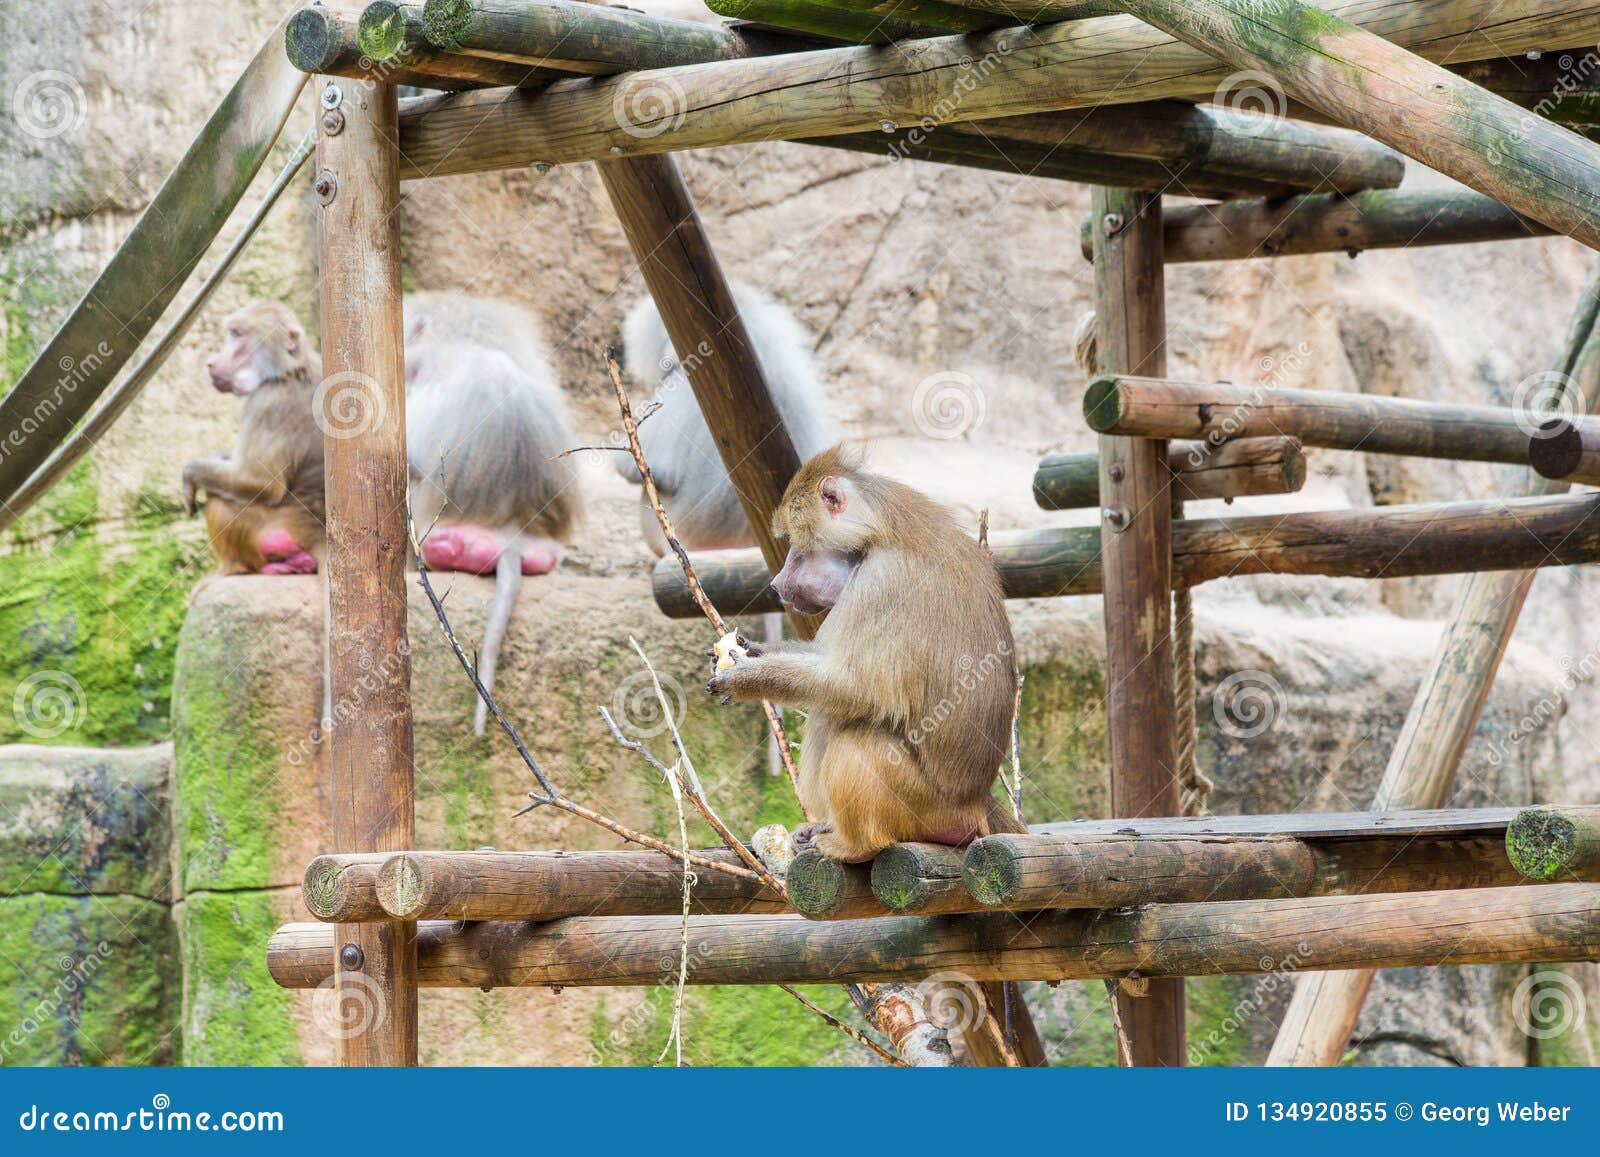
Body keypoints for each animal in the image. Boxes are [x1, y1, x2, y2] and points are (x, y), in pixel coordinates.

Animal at [183, 301, 325, 576]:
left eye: (239, 334)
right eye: (232, 333)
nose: (211, 363)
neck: (290, 368)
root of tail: (320, 536)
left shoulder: (266, 402)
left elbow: (259, 482)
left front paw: (190, 473)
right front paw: (218, 455)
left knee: (219, 501)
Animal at [705, 445, 1024, 862]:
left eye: (798, 548)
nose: (776, 584)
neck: (880, 531)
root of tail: (975, 802)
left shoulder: (881, 582)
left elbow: (857, 688)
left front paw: (745, 678)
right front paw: (748, 651)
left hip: (924, 803)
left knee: (855, 734)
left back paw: (851, 845)